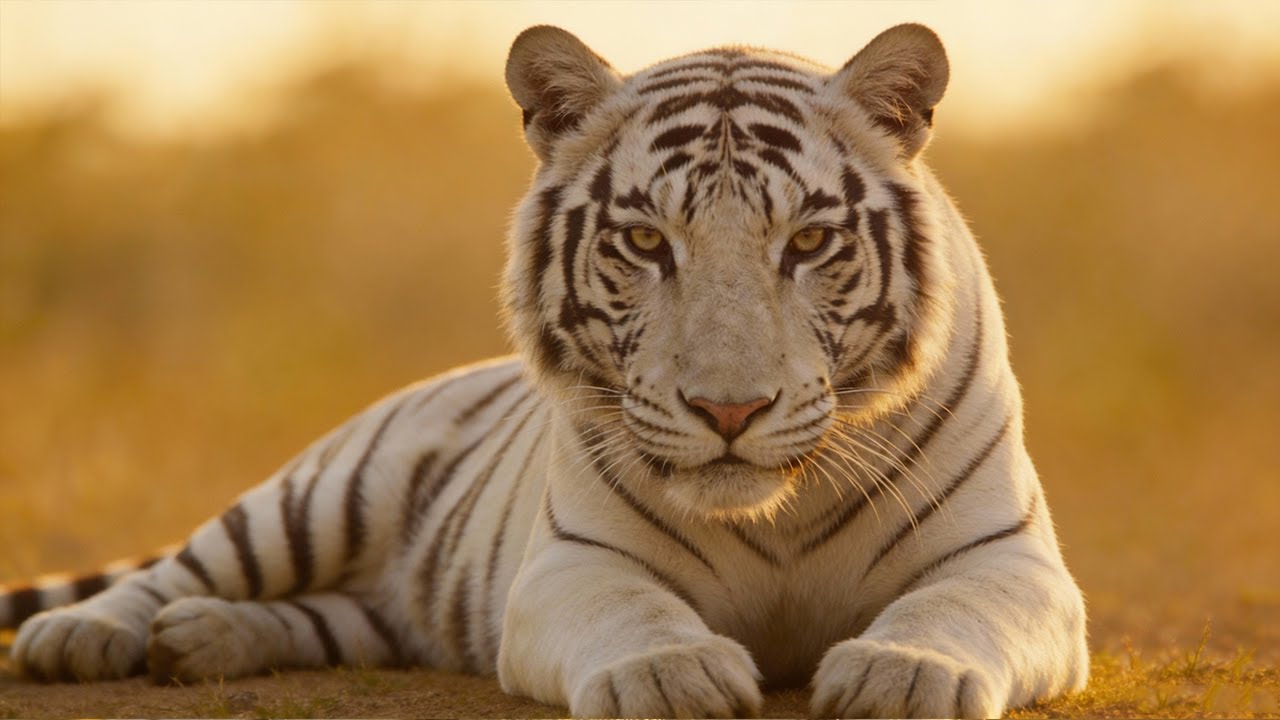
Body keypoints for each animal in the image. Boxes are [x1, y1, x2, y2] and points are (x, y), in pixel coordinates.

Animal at [2, 24, 1089, 718]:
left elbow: (950, 605)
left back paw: (198, 640)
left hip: (377, 607)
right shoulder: (572, 561)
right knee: (180, 567)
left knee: (326, 617)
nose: (729, 409)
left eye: (810, 241)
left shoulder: (1011, 559)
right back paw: (92, 638)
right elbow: (632, 610)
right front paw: (673, 677)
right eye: (646, 241)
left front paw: (901, 674)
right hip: (315, 501)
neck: (775, 510)